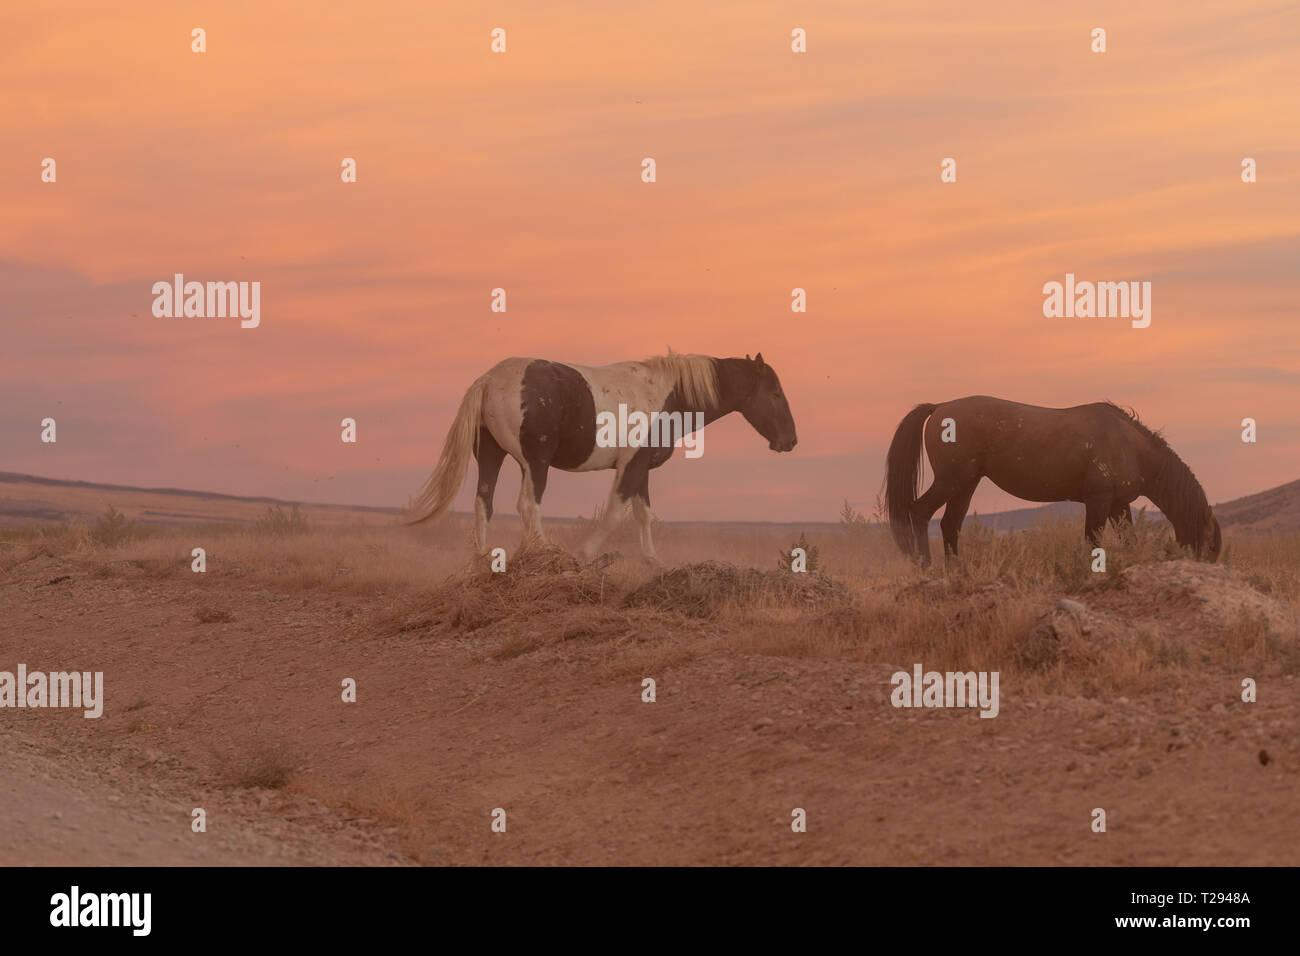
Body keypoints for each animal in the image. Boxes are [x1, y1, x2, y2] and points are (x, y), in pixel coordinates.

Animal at [403, 351, 797, 561]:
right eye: (775, 393)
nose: (790, 441)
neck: (666, 396)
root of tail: (488, 380)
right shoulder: (630, 466)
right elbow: (614, 514)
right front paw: (584, 554)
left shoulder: (641, 468)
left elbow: (643, 515)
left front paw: (652, 560)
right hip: (535, 462)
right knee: (528, 505)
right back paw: (543, 549)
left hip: (491, 454)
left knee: (483, 502)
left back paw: (483, 557)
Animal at [884, 396, 1221, 567]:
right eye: (1207, 546)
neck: (1130, 445)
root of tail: (939, 407)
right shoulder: (1099, 501)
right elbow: (1093, 540)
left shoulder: (1118, 505)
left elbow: (1129, 541)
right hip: (951, 482)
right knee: (920, 512)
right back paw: (925, 566)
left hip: (965, 486)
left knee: (949, 525)